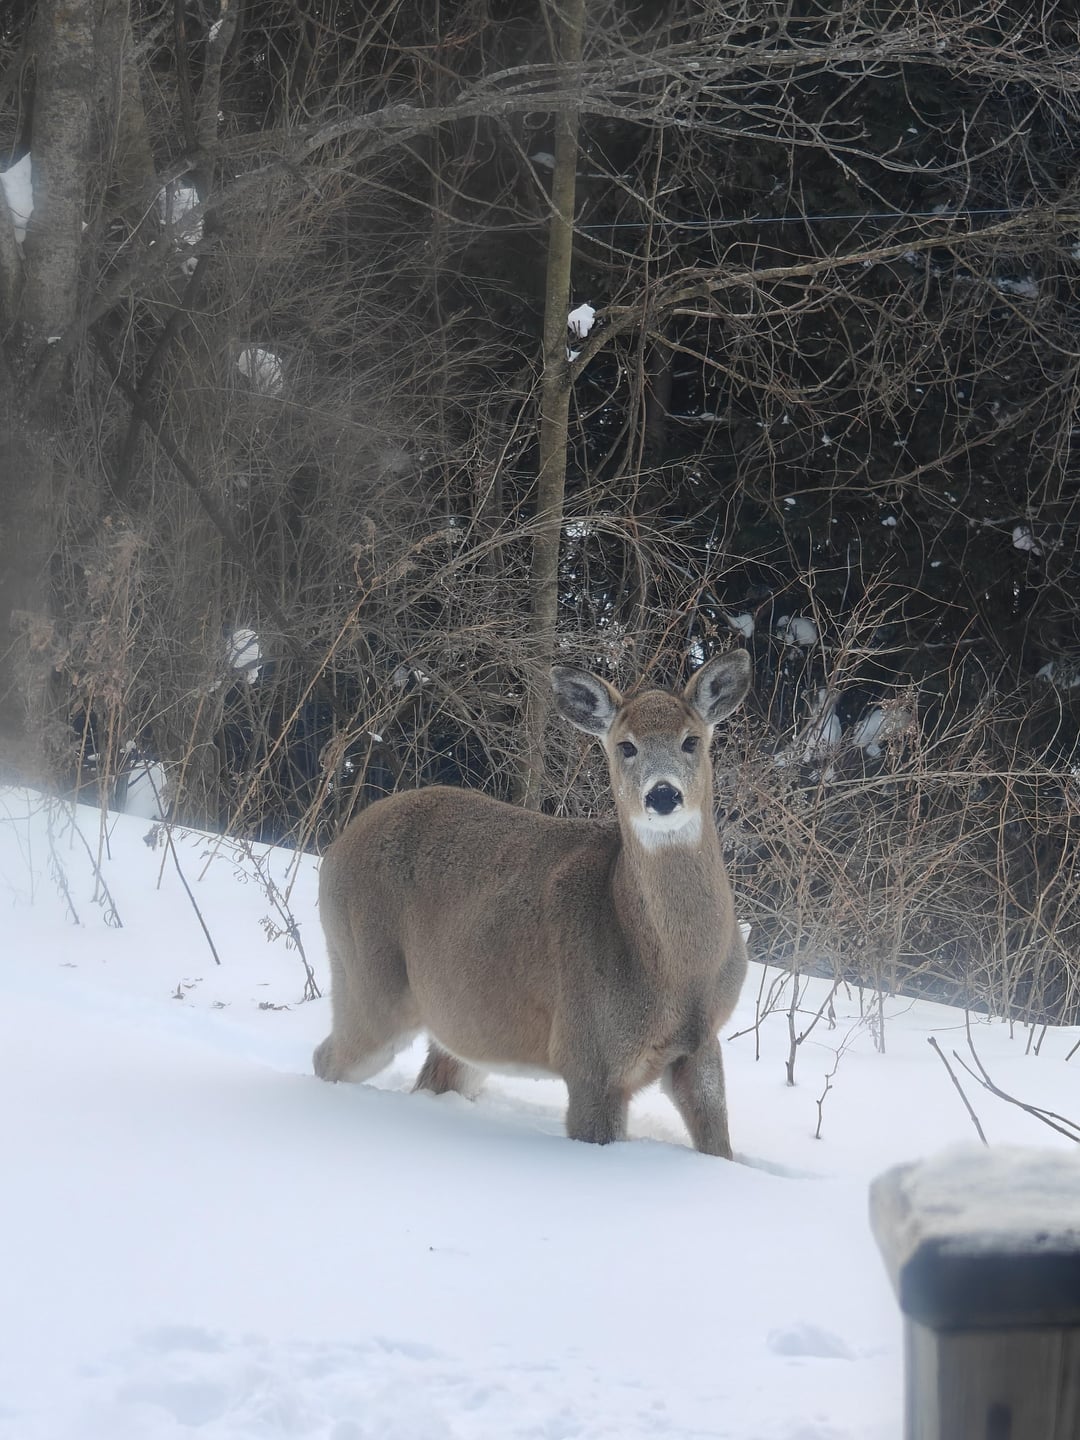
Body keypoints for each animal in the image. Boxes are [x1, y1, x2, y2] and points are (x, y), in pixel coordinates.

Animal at [314, 649, 752, 1157]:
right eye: (626, 746)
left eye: (691, 740)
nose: (663, 793)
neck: (678, 972)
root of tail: (338, 846)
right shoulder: (589, 1055)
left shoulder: (702, 1045)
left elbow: (720, 1147)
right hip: (366, 978)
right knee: (327, 1057)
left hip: (466, 1025)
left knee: (432, 1078)